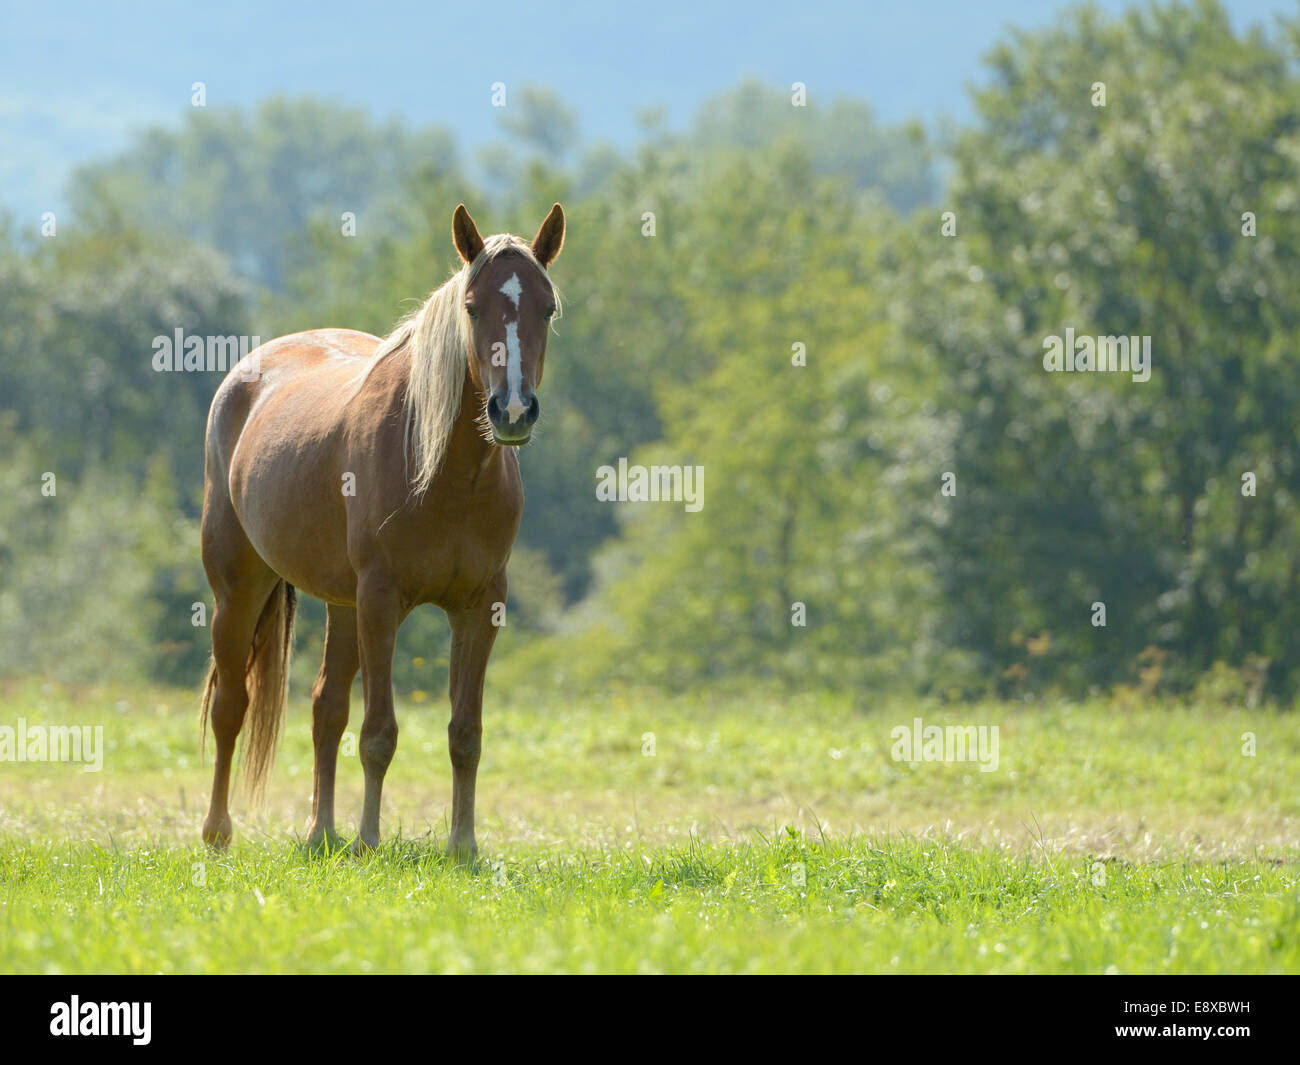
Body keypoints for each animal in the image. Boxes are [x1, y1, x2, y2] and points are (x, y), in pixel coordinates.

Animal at [198, 203, 565, 860]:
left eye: (546, 307)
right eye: (473, 307)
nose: (513, 411)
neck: (446, 472)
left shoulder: (480, 607)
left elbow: (465, 732)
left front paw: (463, 845)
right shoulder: (381, 599)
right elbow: (379, 733)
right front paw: (369, 840)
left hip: (341, 605)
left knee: (325, 708)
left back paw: (321, 833)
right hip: (239, 591)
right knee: (232, 707)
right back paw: (218, 834)